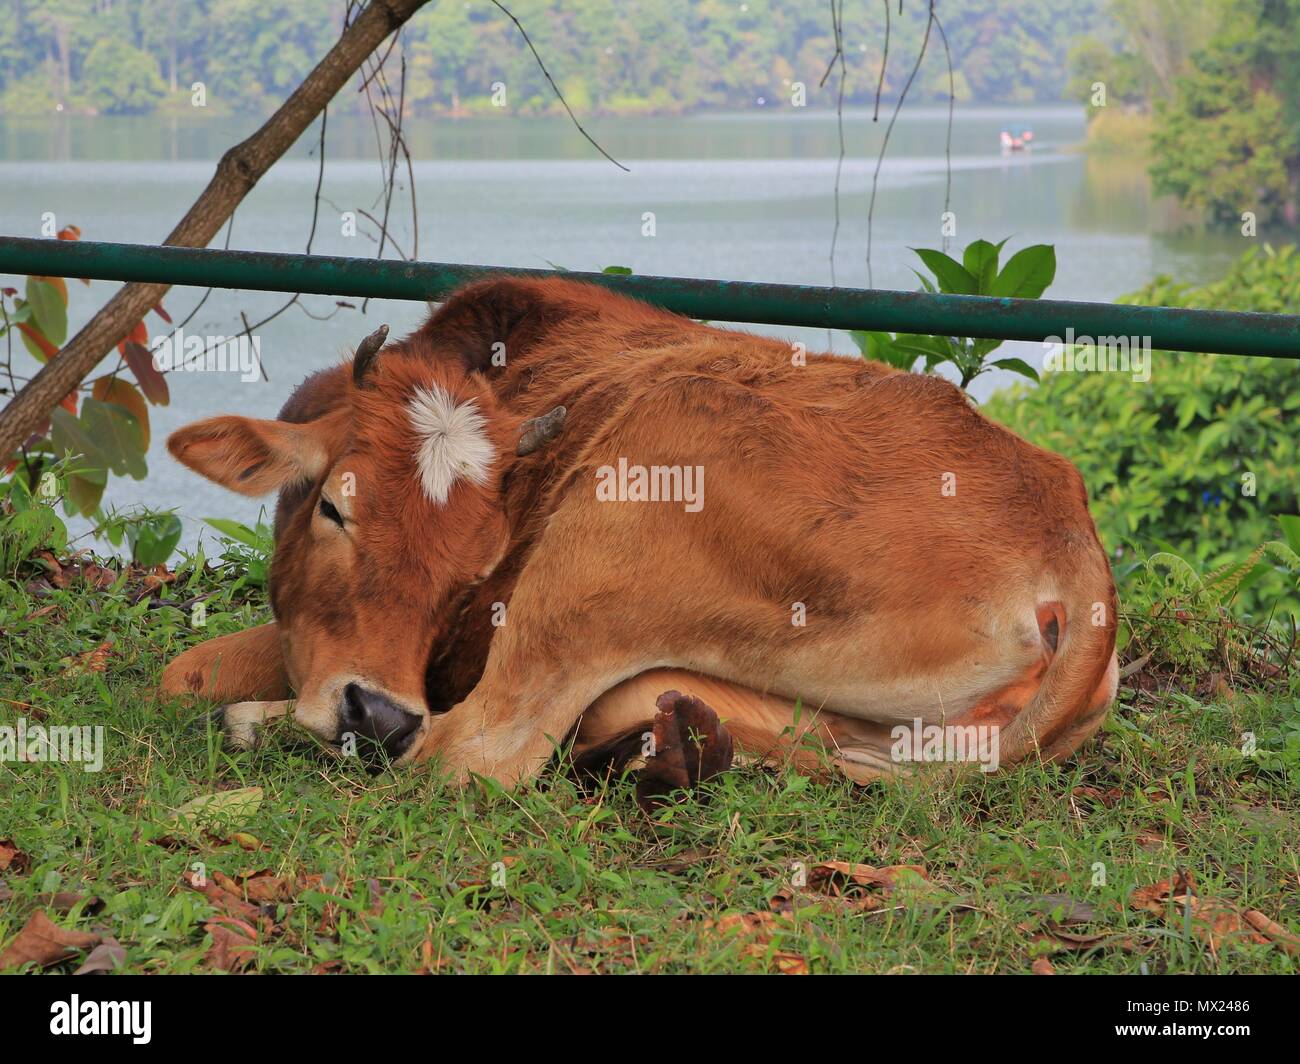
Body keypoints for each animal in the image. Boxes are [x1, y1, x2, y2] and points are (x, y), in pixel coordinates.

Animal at [159, 276, 1119, 789]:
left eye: (473, 575)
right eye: (334, 508)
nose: (378, 713)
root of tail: (1069, 535)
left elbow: (187, 675)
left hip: (627, 507)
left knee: (475, 751)